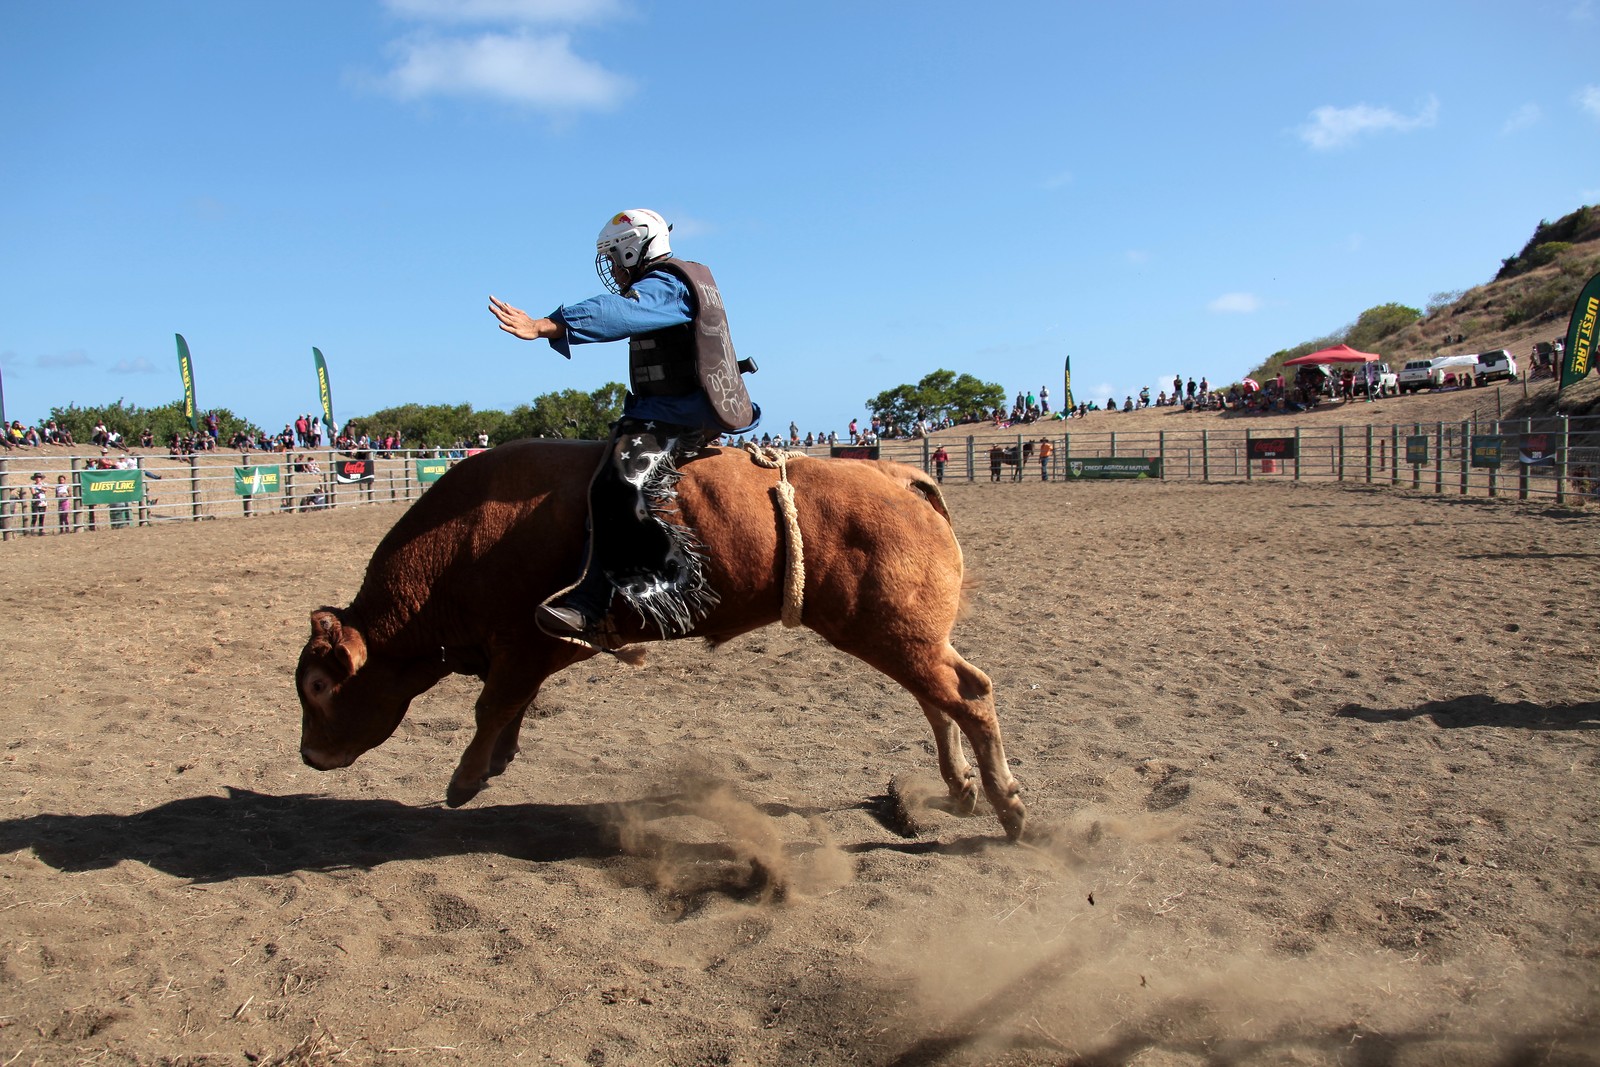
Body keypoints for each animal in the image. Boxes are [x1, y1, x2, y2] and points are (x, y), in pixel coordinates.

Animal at [295, 440, 1026, 841]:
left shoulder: (528, 641)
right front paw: (496, 761)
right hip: (908, 634)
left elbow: (494, 705)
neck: (470, 538)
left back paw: (1008, 807)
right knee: (945, 697)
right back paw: (962, 790)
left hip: (892, 633)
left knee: (965, 695)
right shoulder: (526, 652)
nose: (309, 756)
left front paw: (465, 779)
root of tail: (902, 478)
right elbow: (510, 707)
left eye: (320, 684)